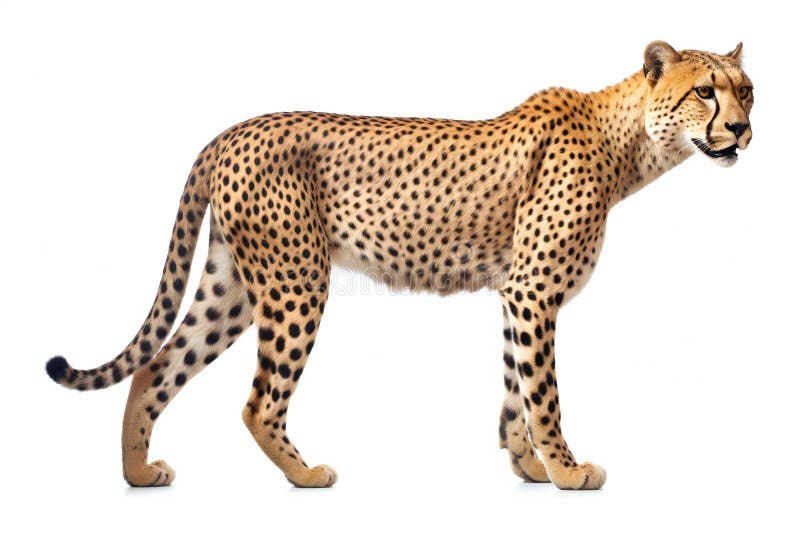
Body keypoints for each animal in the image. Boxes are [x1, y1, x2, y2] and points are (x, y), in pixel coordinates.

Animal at [46, 41, 753, 490]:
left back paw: (139, 474)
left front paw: (527, 468)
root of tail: (233, 130)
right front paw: (568, 470)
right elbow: (544, 393)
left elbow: (513, 390)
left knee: (157, 367)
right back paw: (306, 474)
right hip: (296, 282)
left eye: (747, 91)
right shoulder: (533, 291)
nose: (743, 130)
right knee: (257, 402)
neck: (628, 143)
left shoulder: (515, 293)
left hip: (234, 288)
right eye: (704, 92)